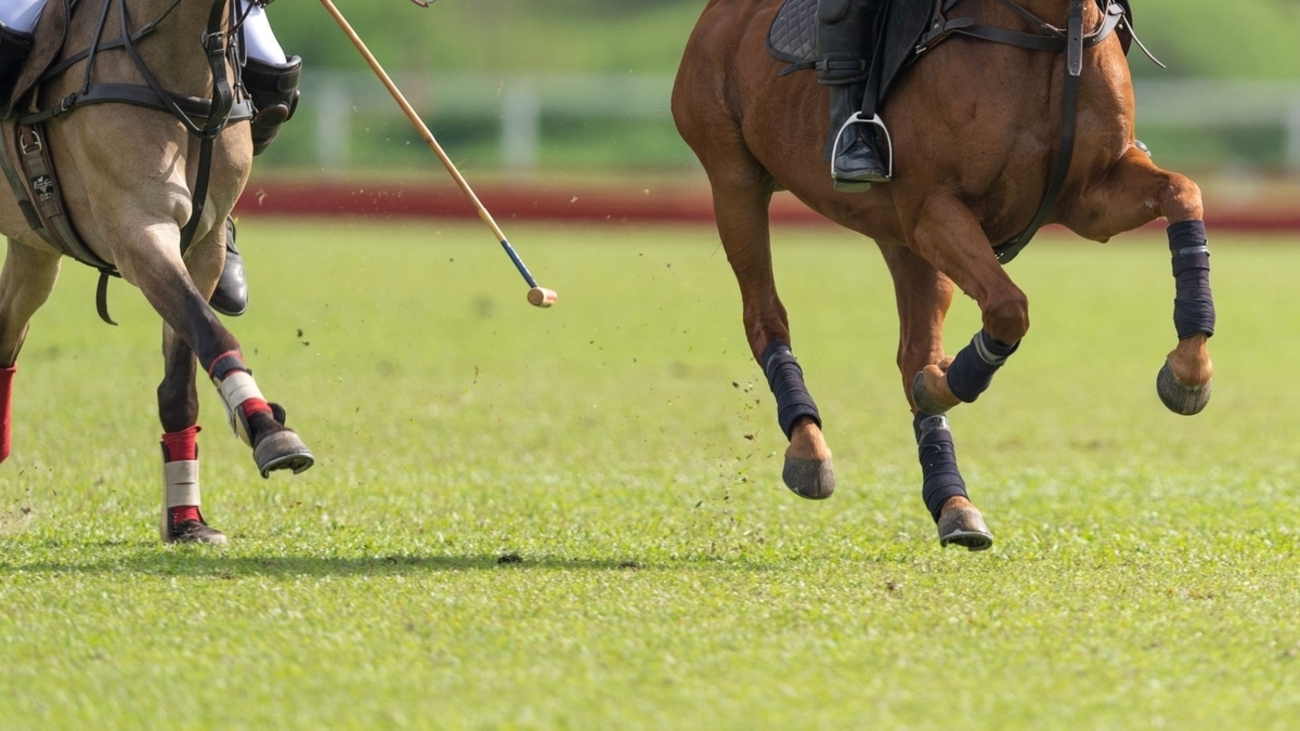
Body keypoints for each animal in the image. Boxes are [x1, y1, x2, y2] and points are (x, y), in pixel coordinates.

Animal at [0, 0, 314, 544]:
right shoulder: (139, 230)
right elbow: (212, 332)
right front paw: (270, 432)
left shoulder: (201, 246)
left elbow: (181, 382)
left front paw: (187, 520)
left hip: (33, 251)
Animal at [671, 0, 1217, 550]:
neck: (1051, 31)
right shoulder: (935, 208)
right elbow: (1009, 308)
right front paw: (941, 385)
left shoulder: (1089, 200)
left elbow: (1182, 192)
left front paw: (1188, 368)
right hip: (735, 180)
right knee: (764, 315)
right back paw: (810, 448)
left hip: (897, 237)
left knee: (913, 351)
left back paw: (954, 503)